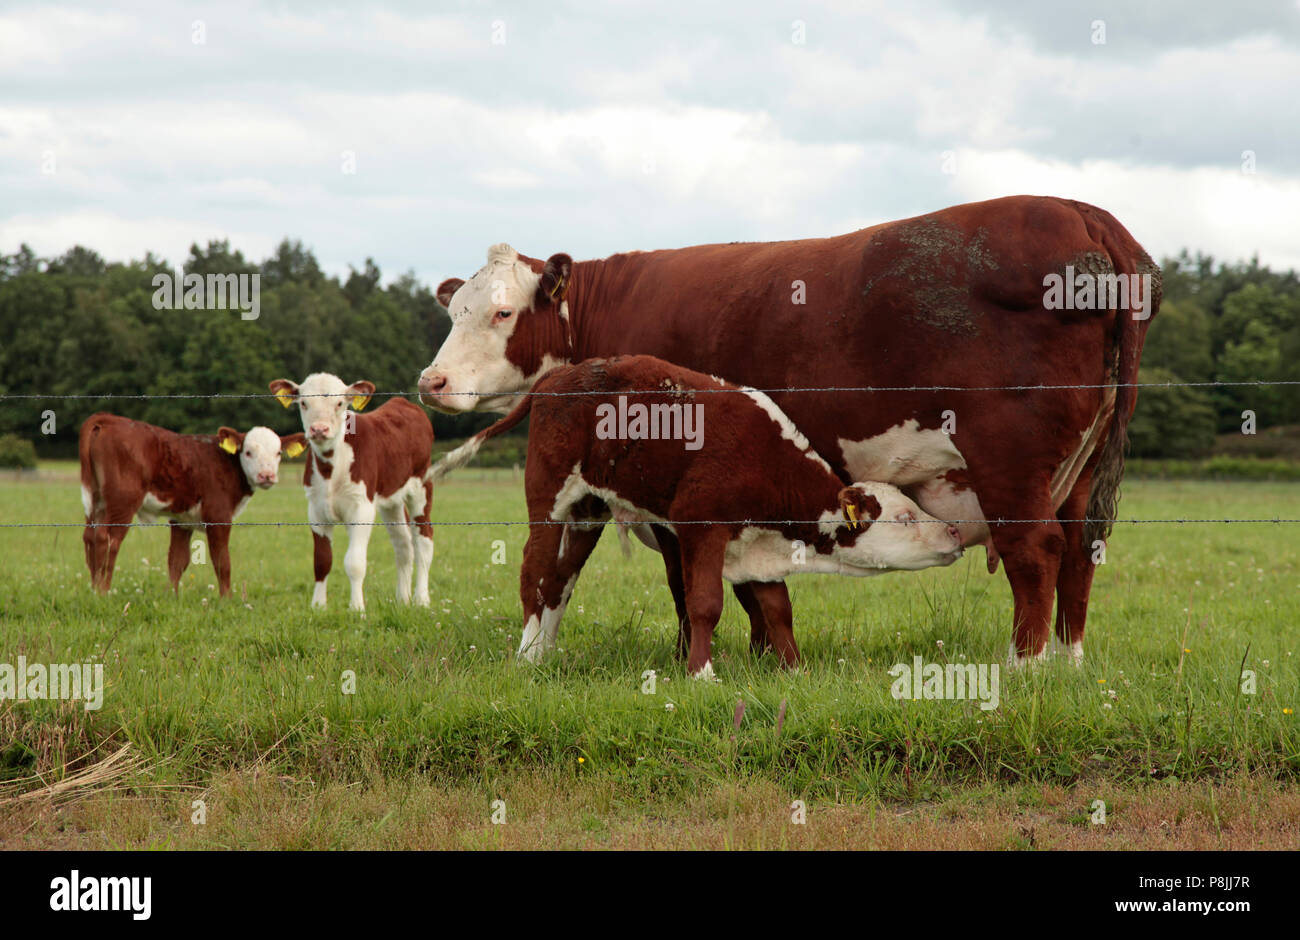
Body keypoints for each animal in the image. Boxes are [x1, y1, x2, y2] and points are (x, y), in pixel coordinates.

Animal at [78, 414, 305, 596]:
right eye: (248, 452)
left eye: (278, 453)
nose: (267, 475)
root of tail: (109, 419)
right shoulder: (218, 515)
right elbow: (222, 561)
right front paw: (226, 600)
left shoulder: (181, 520)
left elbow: (177, 560)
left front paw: (171, 596)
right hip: (122, 502)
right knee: (108, 540)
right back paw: (103, 592)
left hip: (97, 502)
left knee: (90, 537)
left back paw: (93, 589)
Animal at [267, 373, 435, 612]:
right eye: (304, 403)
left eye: (339, 403)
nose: (319, 429)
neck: (331, 467)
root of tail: (403, 403)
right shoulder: (316, 509)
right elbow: (322, 560)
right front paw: (318, 606)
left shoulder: (361, 508)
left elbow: (354, 562)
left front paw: (357, 608)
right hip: (392, 499)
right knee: (403, 544)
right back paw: (402, 599)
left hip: (421, 487)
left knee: (424, 542)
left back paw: (421, 599)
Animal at [432, 355, 964, 676]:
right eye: (906, 519)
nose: (954, 531)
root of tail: (559, 376)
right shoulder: (701, 529)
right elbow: (705, 603)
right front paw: (701, 673)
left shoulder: (756, 545)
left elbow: (778, 609)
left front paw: (793, 668)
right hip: (549, 501)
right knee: (535, 573)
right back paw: (526, 657)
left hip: (588, 510)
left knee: (560, 579)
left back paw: (543, 652)